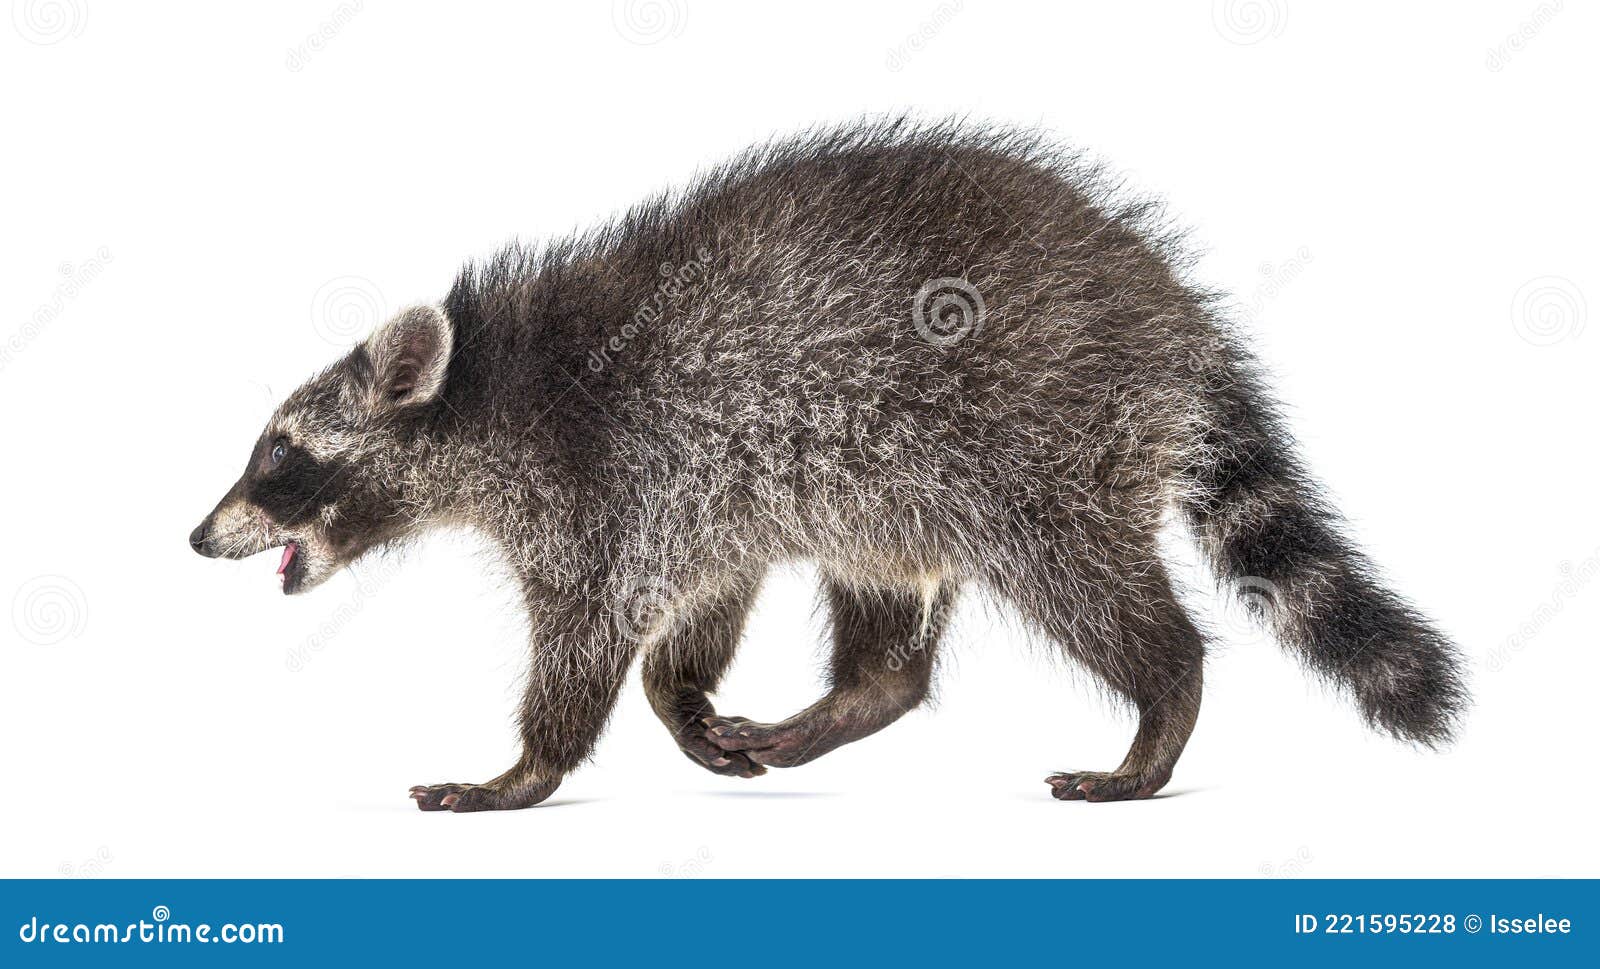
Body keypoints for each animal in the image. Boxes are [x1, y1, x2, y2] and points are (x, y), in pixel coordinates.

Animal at [190, 119, 1466, 811]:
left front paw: (529, 766)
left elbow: (588, 639)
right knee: (888, 619)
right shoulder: (699, 498)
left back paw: (1162, 700)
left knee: (1084, 583)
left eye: (278, 455)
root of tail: (1173, 320)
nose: (200, 535)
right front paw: (681, 700)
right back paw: (853, 698)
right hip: (890, 482)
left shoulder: (605, 491)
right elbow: (698, 610)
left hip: (1035, 443)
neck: (488, 389)